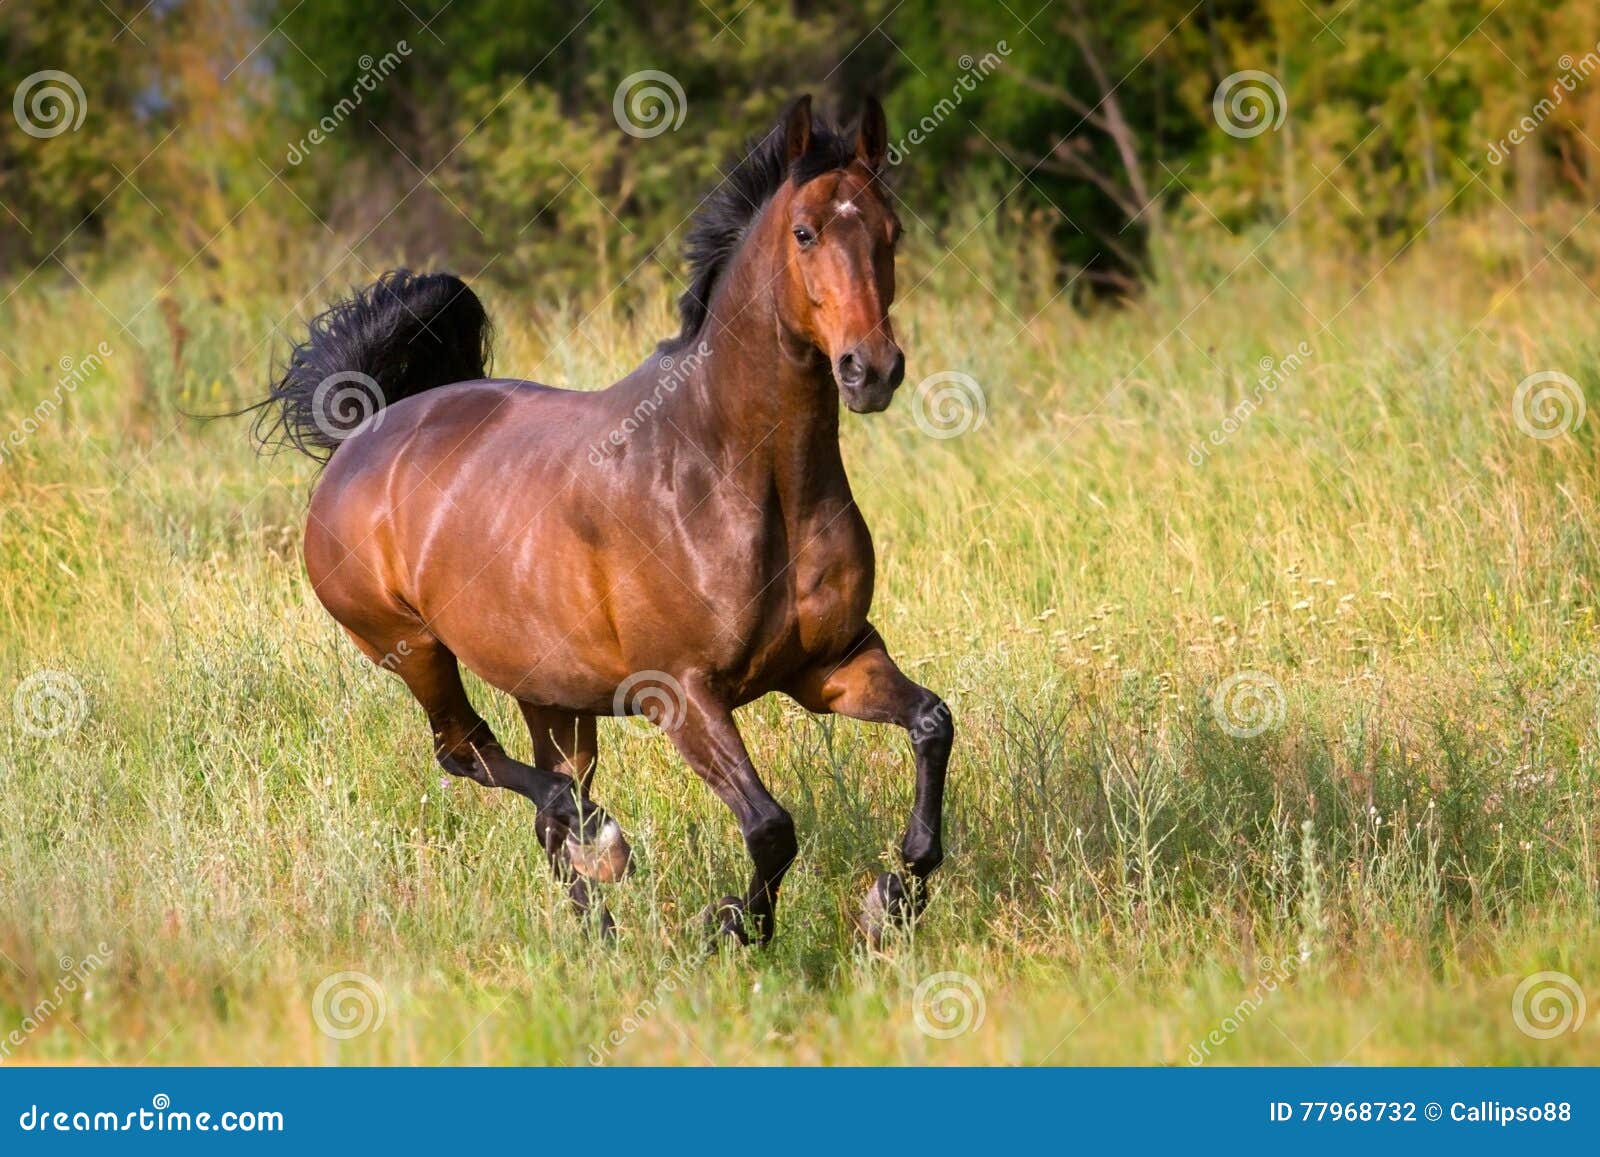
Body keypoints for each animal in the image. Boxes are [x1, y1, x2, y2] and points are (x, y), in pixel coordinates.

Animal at [250, 95, 952, 946]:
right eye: (805, 232)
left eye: (891, 231)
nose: (870, 369)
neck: (735, 476)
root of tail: (364, 433)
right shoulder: (679, 692)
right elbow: (770, 826)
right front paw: (734, 924)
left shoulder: (832, 663)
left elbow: (932, 722)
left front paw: (898, 890)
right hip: (410, 646)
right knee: (470, 754)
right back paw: (604, 842)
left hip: (547, 690)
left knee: (544, 805)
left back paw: (600, 929)